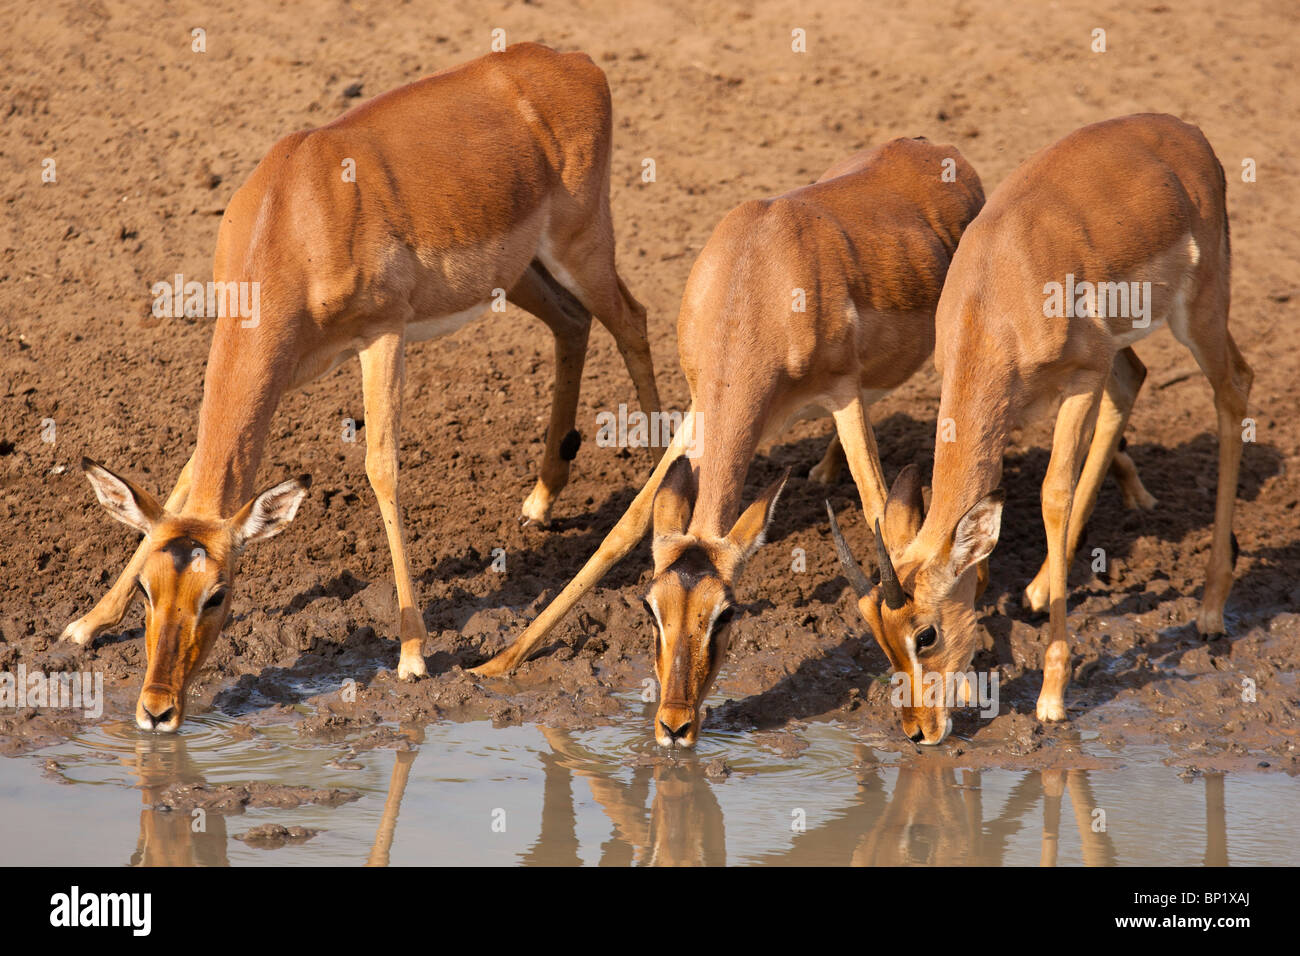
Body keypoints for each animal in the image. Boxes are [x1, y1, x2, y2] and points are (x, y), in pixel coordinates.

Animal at [61, 43, 661, 732]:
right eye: (147, 589)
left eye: (218, 593)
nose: (157, 710)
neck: (295, 212)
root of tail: (574, 60)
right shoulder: (289, 370)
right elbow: (187, 472)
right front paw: (86, 624)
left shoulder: (384, 334)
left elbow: (381, 466)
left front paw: (412, 654)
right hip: (522, 275)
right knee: (573, 321)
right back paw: (540, 500)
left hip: (582, 246)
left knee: (633, 319)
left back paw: (656, 490)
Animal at [472, 136, 988, 748]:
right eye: (650, 608)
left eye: (727, 614)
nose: (674, 725)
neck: (760, 275)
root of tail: (937, 150)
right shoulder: (699, 411)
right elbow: (624, 528)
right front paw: (495, 663)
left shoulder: (842, 392)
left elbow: (879, 510)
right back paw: (822, 471)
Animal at [830, 113, 1251, 744]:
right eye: (879, 639)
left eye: (925, 634)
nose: (918, 732)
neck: (1002, 291)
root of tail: (1184, 132)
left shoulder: (1080, 379)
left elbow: (1054, 492)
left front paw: (1051, 695)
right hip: (1126, 345)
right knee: (1136, 379)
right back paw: (1039, 587)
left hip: (1198, 313)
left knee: (1234, 388)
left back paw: (1210, 610)